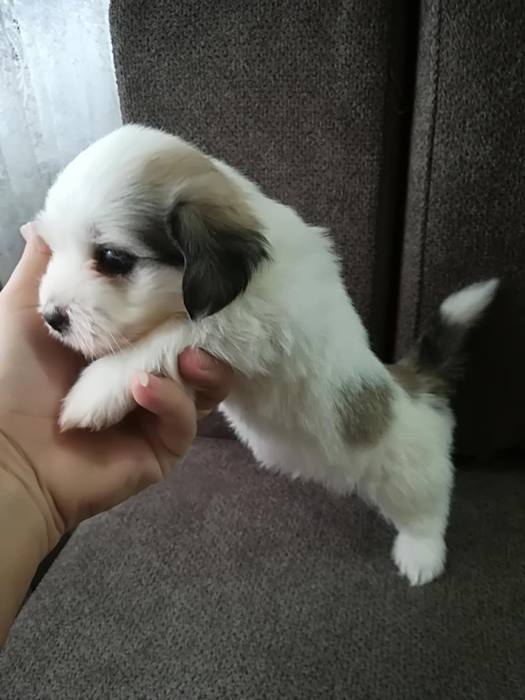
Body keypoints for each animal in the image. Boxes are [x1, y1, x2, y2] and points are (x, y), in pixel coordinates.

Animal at [35, 124, 496, 584]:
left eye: (113, 257)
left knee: (428, 509)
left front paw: (94, 390)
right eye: (53, 248)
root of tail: (415, 385)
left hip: (408, 474)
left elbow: (172, 331)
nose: (51, 317)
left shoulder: (249, 322)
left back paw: (422, 554)